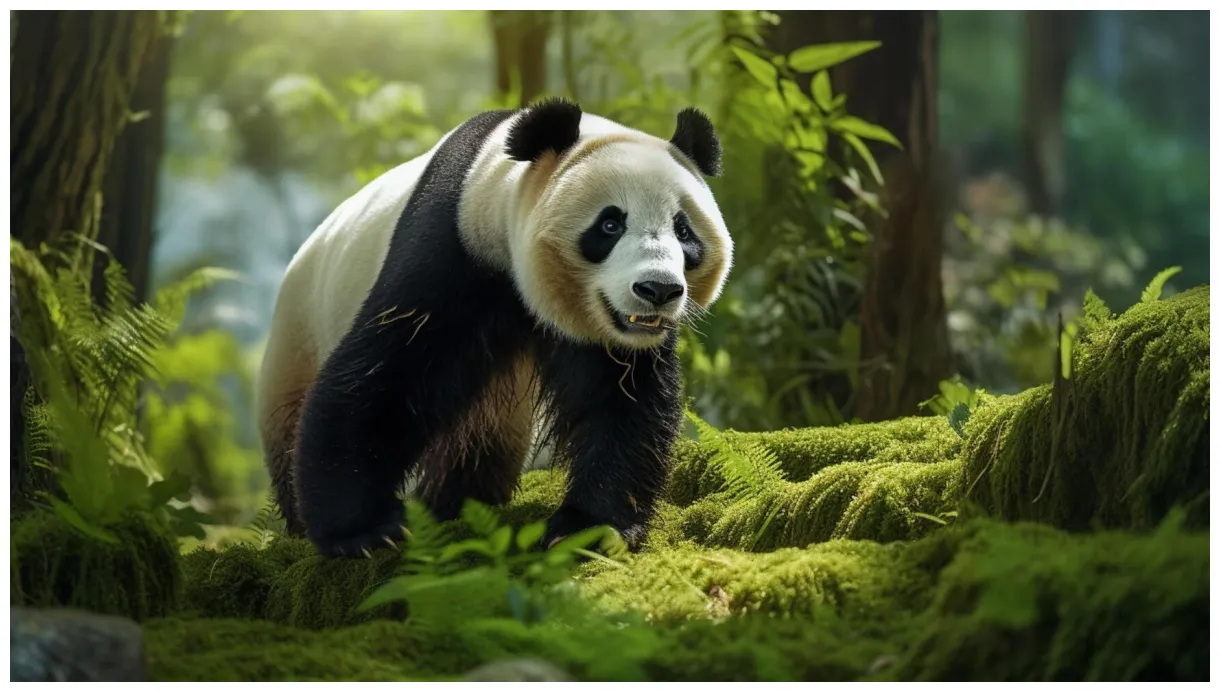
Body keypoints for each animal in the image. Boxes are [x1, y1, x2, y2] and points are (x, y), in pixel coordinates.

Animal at [255, 97, 733, 559]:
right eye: (611, 224)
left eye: (684, 231)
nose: (658, 289)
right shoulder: (451, 244)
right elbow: (384, 371)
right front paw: (364, 531)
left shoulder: (611, 338)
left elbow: (623, 401)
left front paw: (591, 528)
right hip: (299, 330)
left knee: (478, 443)